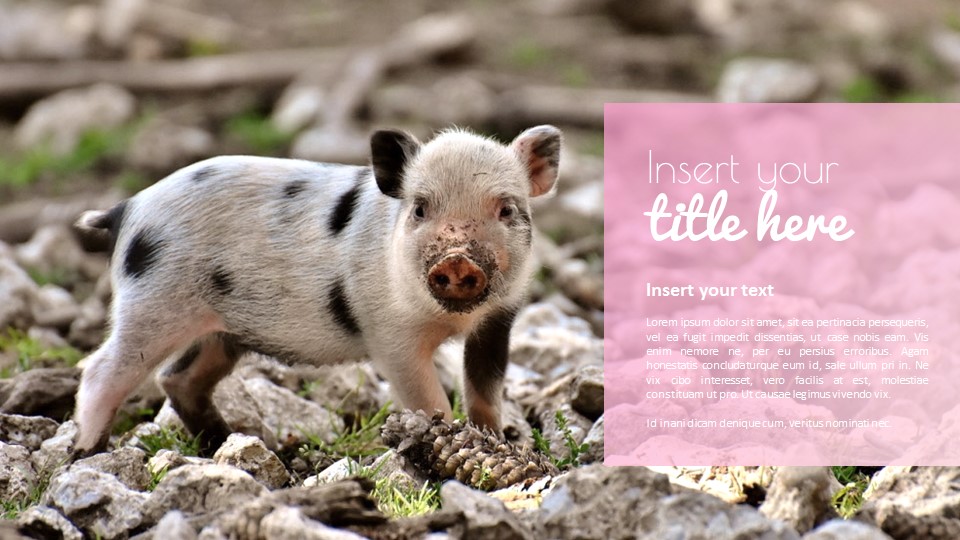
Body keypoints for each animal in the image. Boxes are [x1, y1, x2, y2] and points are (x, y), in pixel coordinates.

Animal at [70, 125, 562, 457]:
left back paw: (229, 442)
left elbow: (485, 390)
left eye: (506, 209)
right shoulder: (390, 335)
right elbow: (429, 400)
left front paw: (495, 441)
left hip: (220, 330)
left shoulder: (499, 320)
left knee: (178, 378)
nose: (457, 260)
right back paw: (87, 453)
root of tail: (127, 208)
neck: (452, 320)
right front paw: (445, 437)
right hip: (150, 303)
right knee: (100, 369)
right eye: (420, 209)